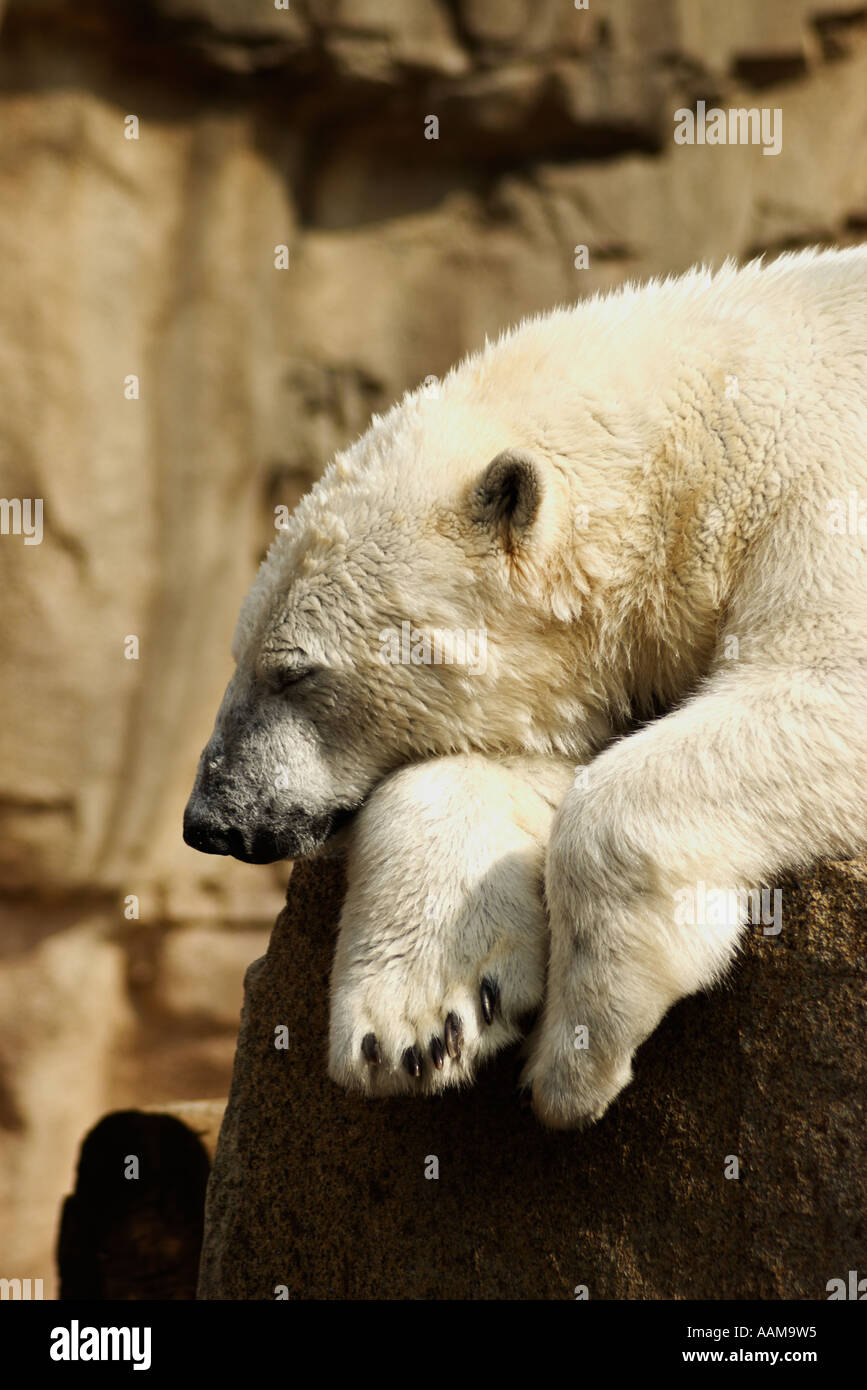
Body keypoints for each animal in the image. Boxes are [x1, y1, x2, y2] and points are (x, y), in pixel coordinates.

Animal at [184, 246, 867, 1129]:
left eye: (293, 669)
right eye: (239, 654)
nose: (212, 819)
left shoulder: (829, 488)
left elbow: (825, 679)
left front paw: (576, 1055)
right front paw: (418, 1022)